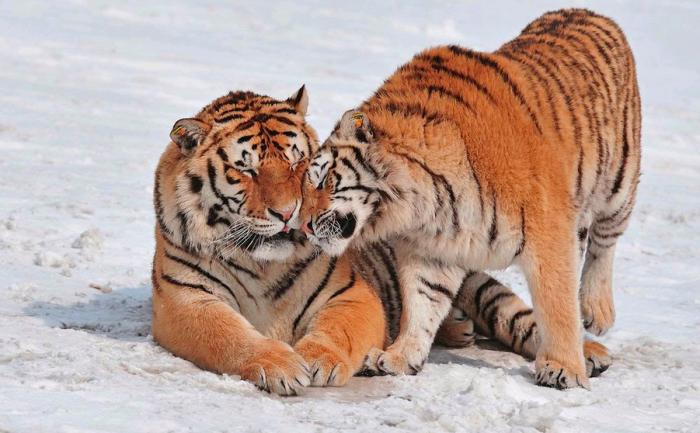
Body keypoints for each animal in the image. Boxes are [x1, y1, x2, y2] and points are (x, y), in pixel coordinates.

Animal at [300, 8, 640, 388]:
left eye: (323, 179)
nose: (304, 226)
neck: (420, 202)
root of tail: (587, 11)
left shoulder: (549, 234)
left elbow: (557, 307)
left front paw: (563, 368)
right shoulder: (430, 251)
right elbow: (421, 305)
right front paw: (400, 357)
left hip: (619, 182)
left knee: (605, 241)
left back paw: (597, 311)